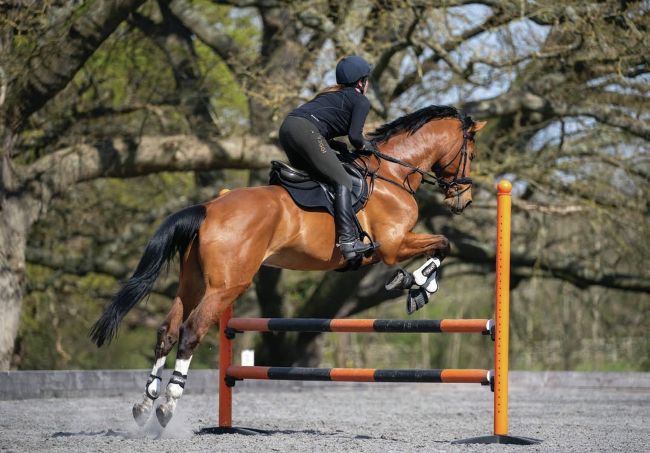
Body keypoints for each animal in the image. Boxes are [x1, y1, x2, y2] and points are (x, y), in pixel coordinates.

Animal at [90, 105, 486, 428]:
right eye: (471, 151)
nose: (464, 200)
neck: (392, 173)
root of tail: (208, 208)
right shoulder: (392, 245)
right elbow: (443, 244)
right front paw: (418, 286)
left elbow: (442, 244)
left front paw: (414, 286)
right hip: (226, 287)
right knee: (190, 332)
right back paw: (167, 405)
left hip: (192, 284)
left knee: (167, 331)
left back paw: (145, 404)